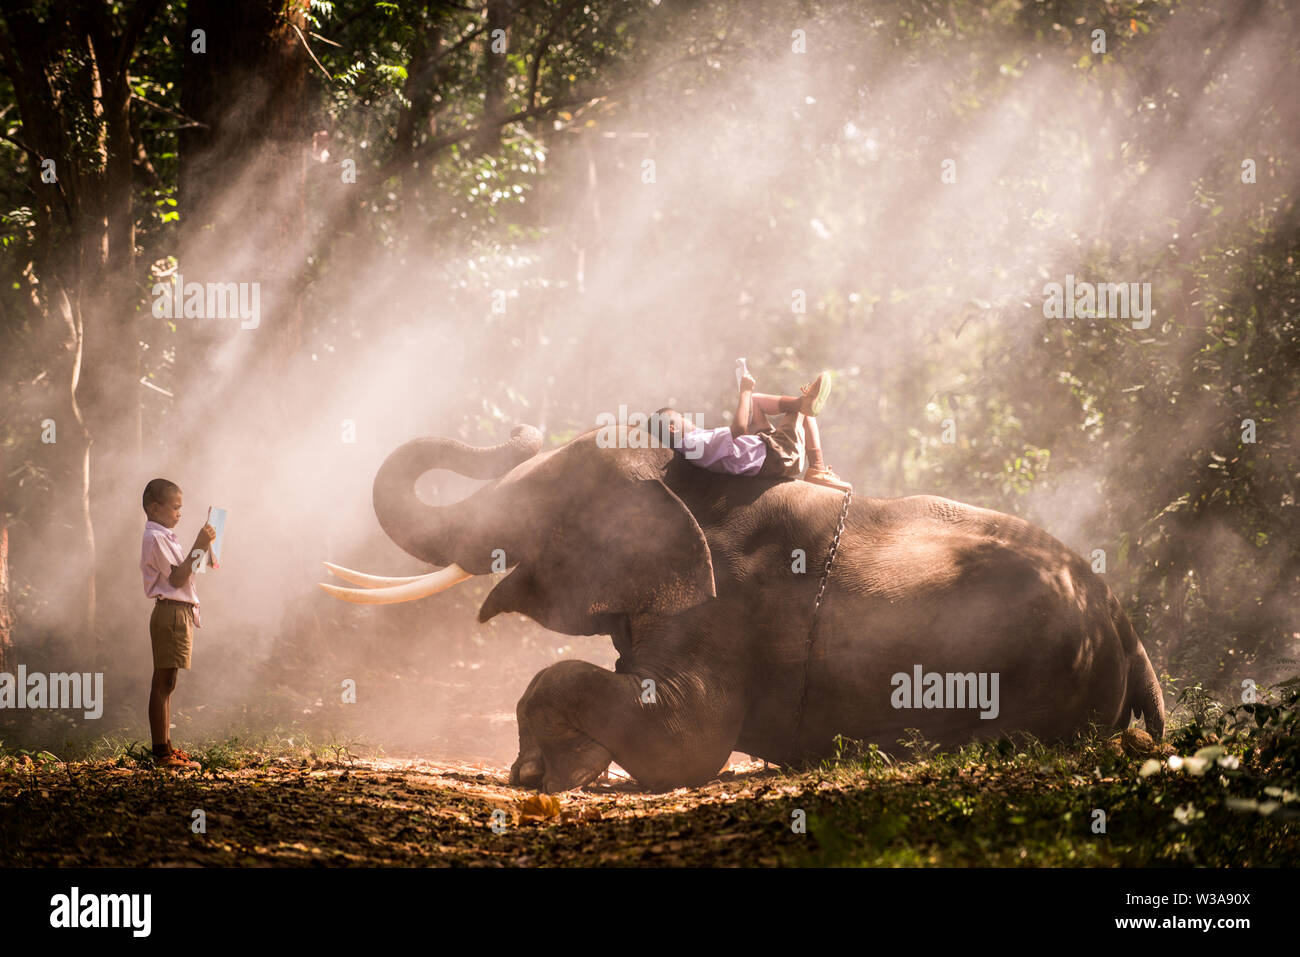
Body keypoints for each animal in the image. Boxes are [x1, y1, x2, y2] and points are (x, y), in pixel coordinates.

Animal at [321, 423, 1165, 793]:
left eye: (540, 502)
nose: (518, 428)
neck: (674, 476)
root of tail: (1124, 624)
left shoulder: (725, 611)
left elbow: (687, 742)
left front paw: (537, 775)